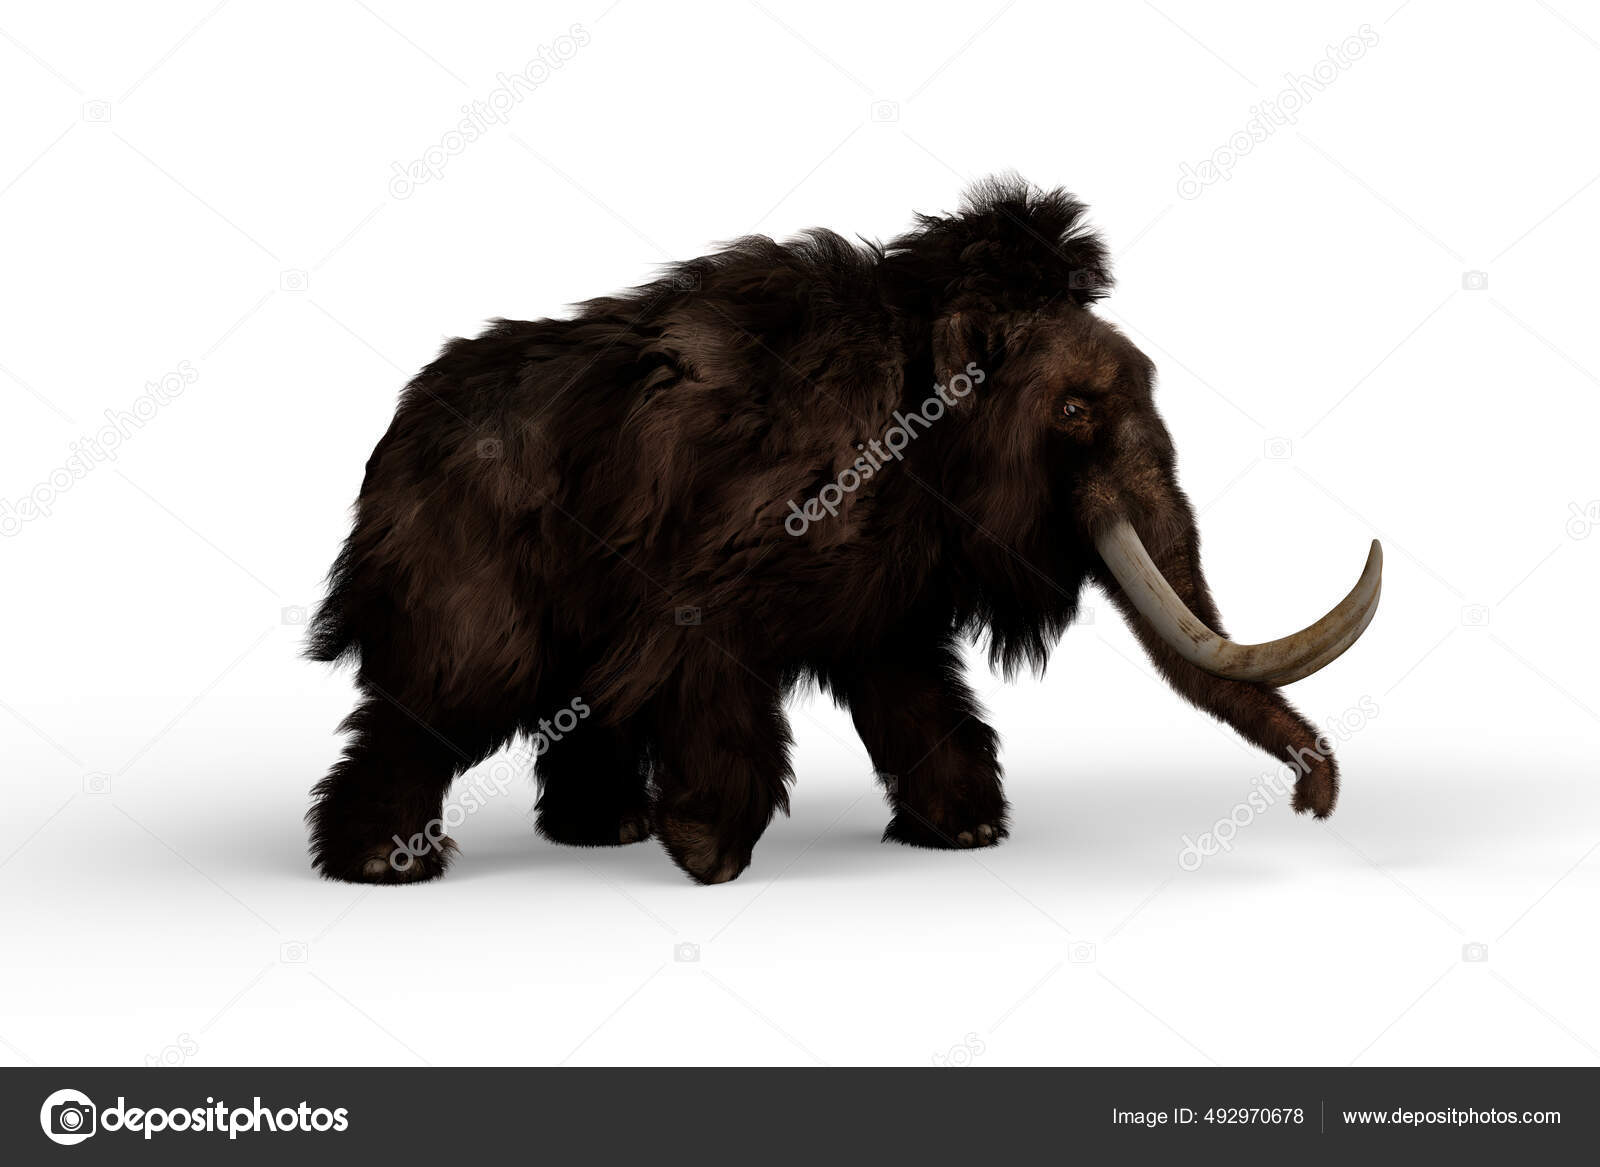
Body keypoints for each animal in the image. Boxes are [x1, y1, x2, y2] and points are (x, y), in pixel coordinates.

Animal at [306, 176, 1381, 885]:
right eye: (1076, 410)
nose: (1314, 798)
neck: (913, 399)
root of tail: (391, 437)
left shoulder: (885, 591)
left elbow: (916, 693)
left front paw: (964, 833)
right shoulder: (722, 575)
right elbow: (717, 688)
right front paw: (710, 854)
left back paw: (602, 830)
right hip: (467, 585)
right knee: (437, 700)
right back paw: (386, 862)